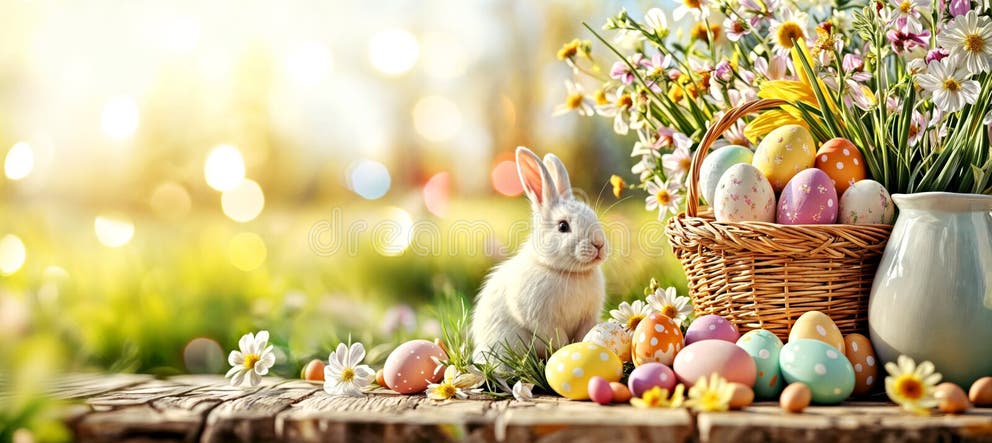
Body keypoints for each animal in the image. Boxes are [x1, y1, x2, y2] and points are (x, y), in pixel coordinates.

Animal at [471, 146, 608, 364]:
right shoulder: (541, 320)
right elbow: (557, 338)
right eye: (563, 226)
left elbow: (585, 334)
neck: (565, 272)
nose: (599, 244)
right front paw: (563, 350)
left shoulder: (587, 318)